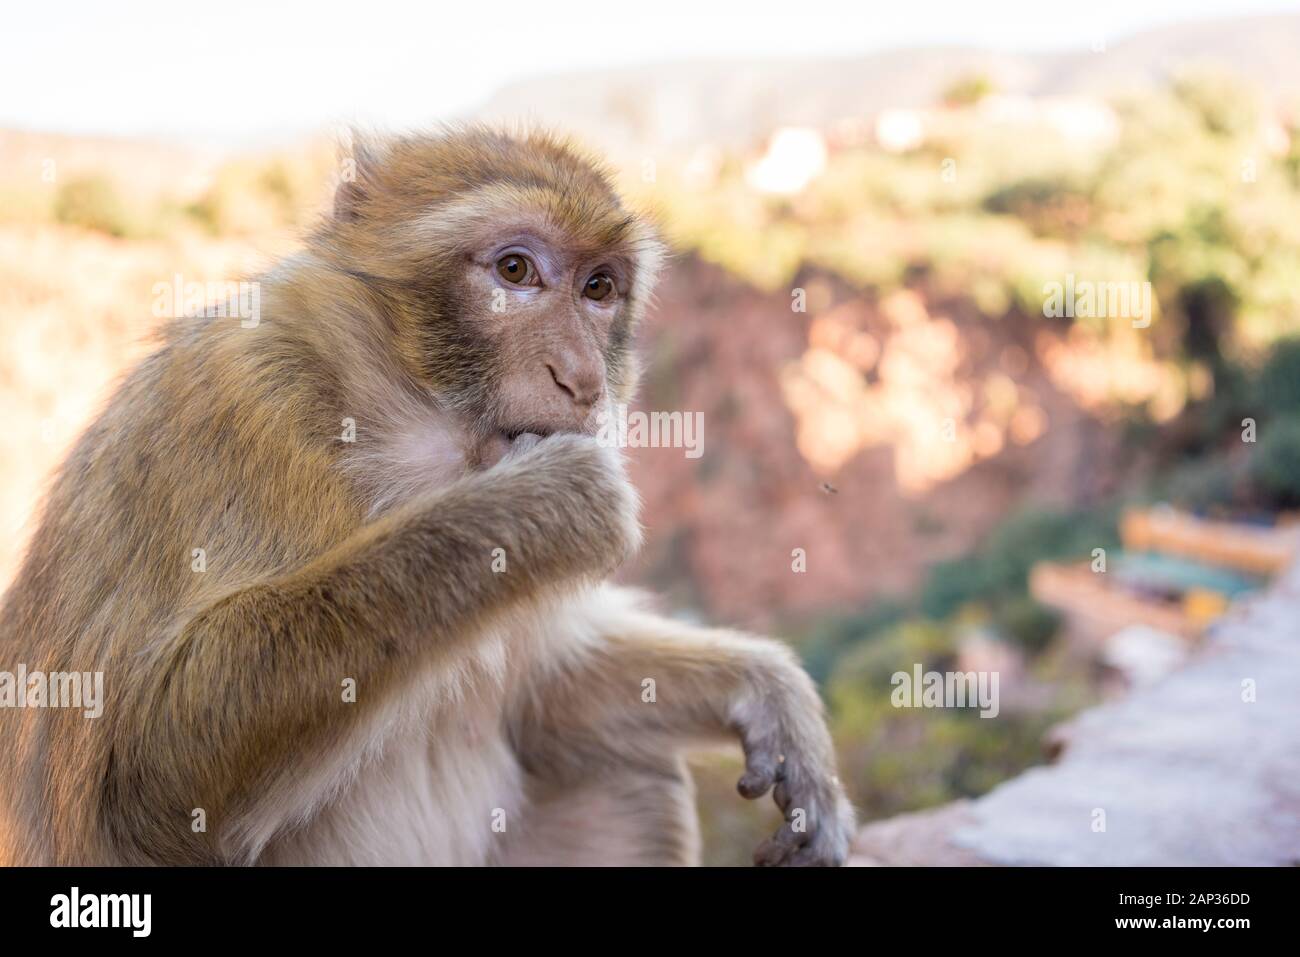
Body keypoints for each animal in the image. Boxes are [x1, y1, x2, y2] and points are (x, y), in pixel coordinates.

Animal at [0, 126, 855, 867]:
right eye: (515, 273)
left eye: (600, 288)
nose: (581, 379)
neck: (389, 426)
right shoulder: (238, 411)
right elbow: (142, 785)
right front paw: (547, 505)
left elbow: (545, 697)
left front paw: (768, 690)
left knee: (627, 773)